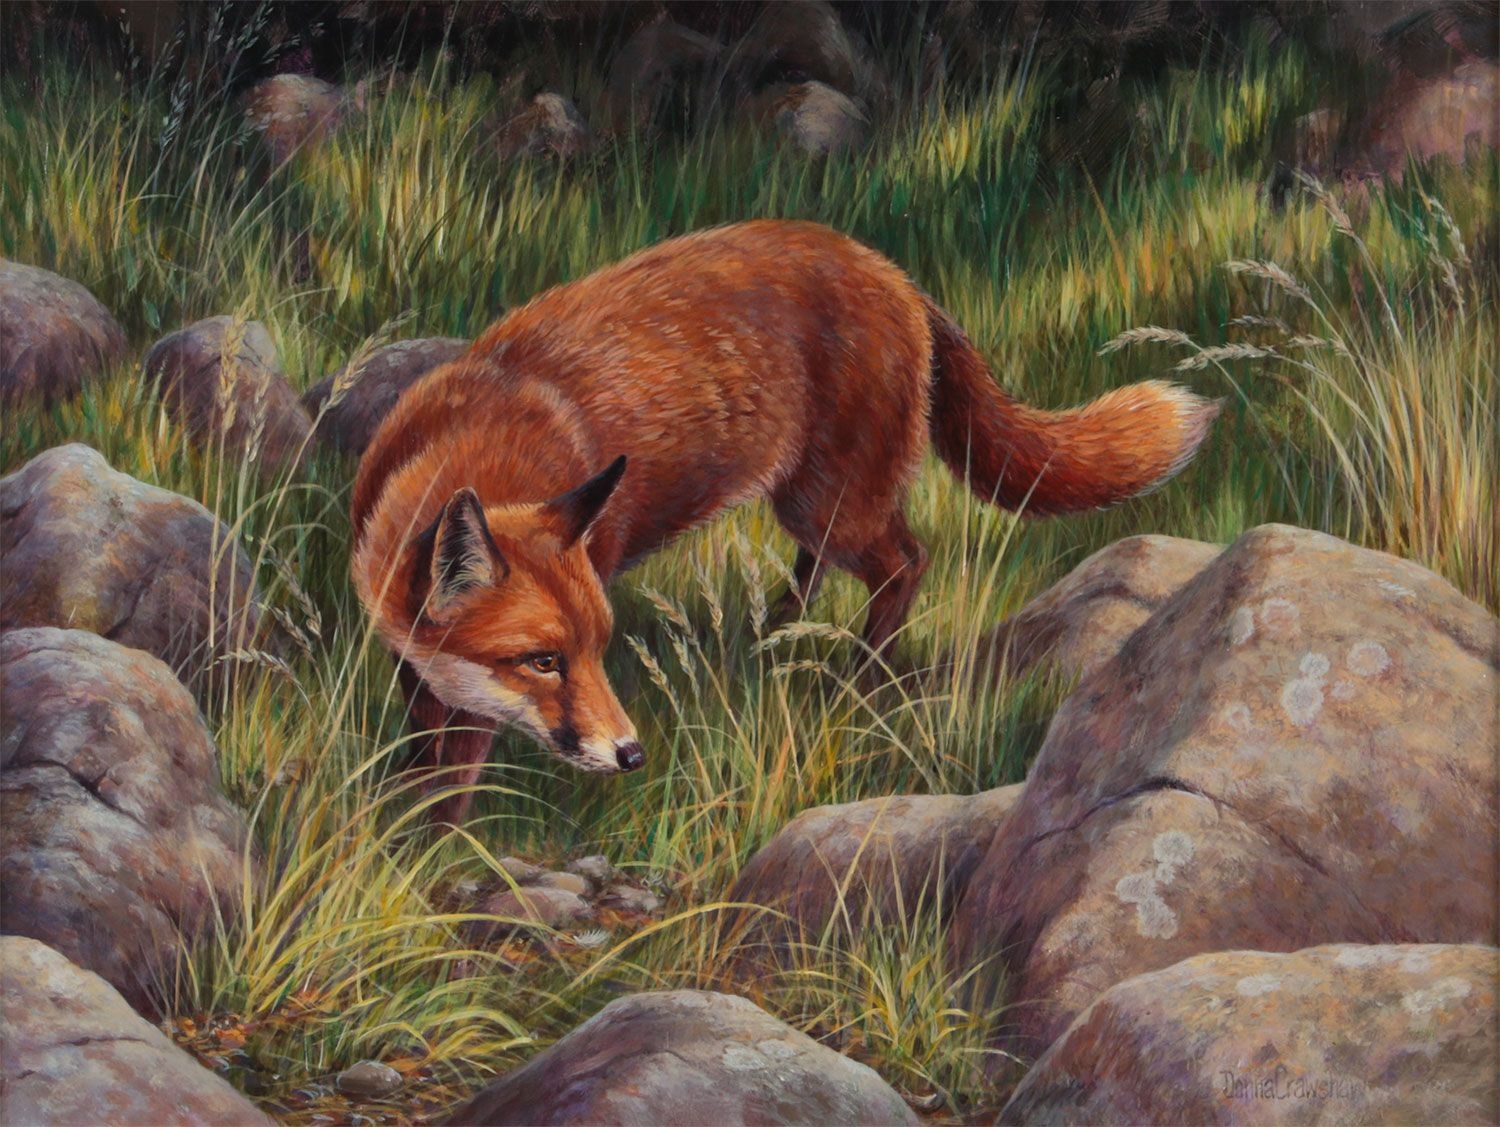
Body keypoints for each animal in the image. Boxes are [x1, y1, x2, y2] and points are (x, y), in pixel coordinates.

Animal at [352, 219, 1218, 825]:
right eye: (542, 660)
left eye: (595, 651)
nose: (632, 753)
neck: (480, 440)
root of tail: (896, 275)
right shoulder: (412, 660)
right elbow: (421, 751)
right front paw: (400, 831)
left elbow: (453, 779)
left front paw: (429, 859)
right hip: (812, 503)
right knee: (820, 572)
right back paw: (775, 639)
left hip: (830, 502)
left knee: (906, 561)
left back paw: (860, 688)